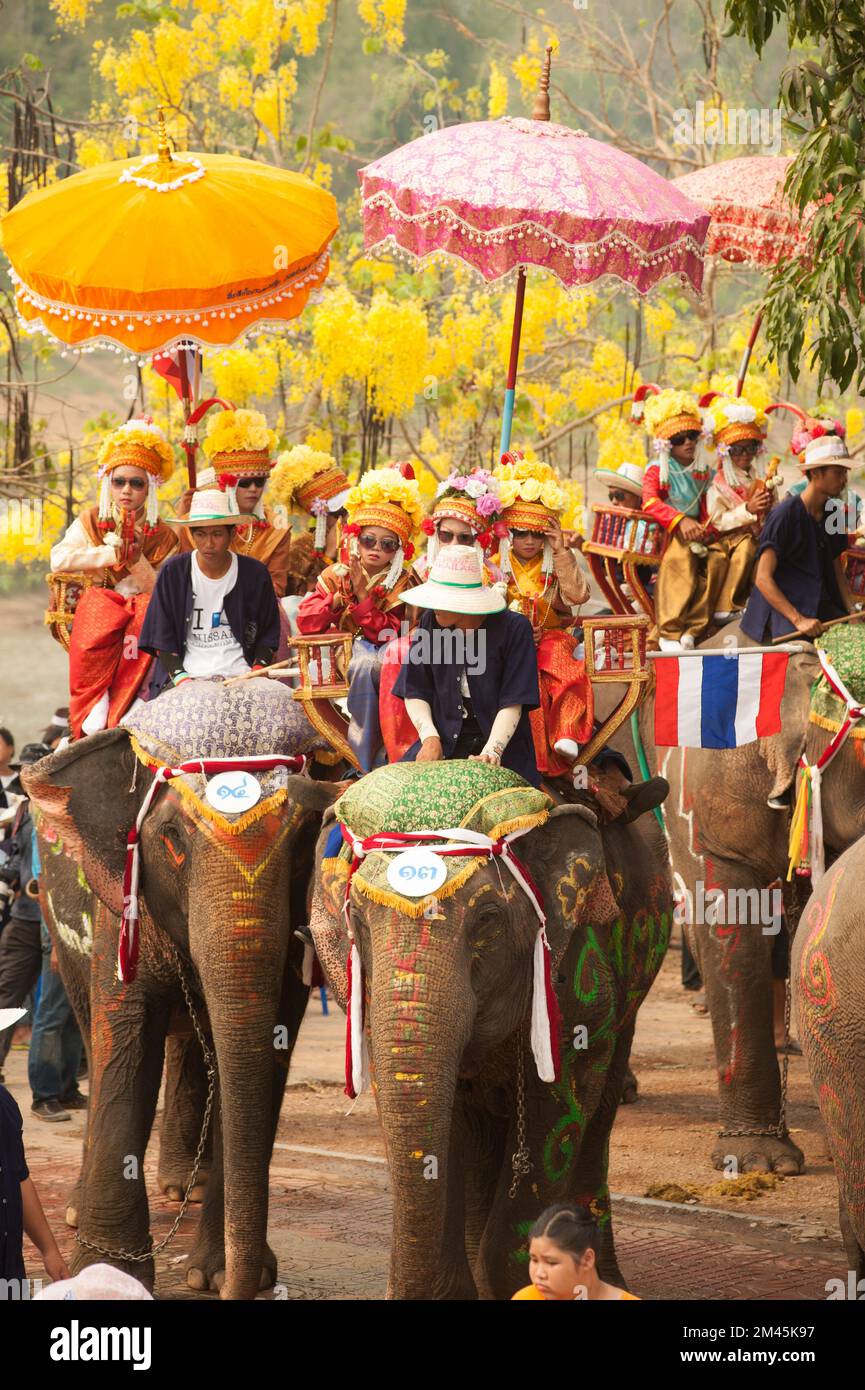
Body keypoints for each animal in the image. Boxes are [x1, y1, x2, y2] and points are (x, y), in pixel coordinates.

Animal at [25, 678, 337, 1300]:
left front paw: (212, 1274)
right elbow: (126, 1042)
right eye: (172, 841)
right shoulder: (117, 902)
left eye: (302, 846)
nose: (245, 1288)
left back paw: (181, 1188)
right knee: (93, 1033)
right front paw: (110, 1273)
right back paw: (81, 1208)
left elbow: (266, 1052)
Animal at [309, 760, 672, 1300]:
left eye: (486, 919)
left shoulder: (580, 975)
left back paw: (608, 1279)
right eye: (357, 918)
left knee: (599, 1113)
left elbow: (558, 1116)